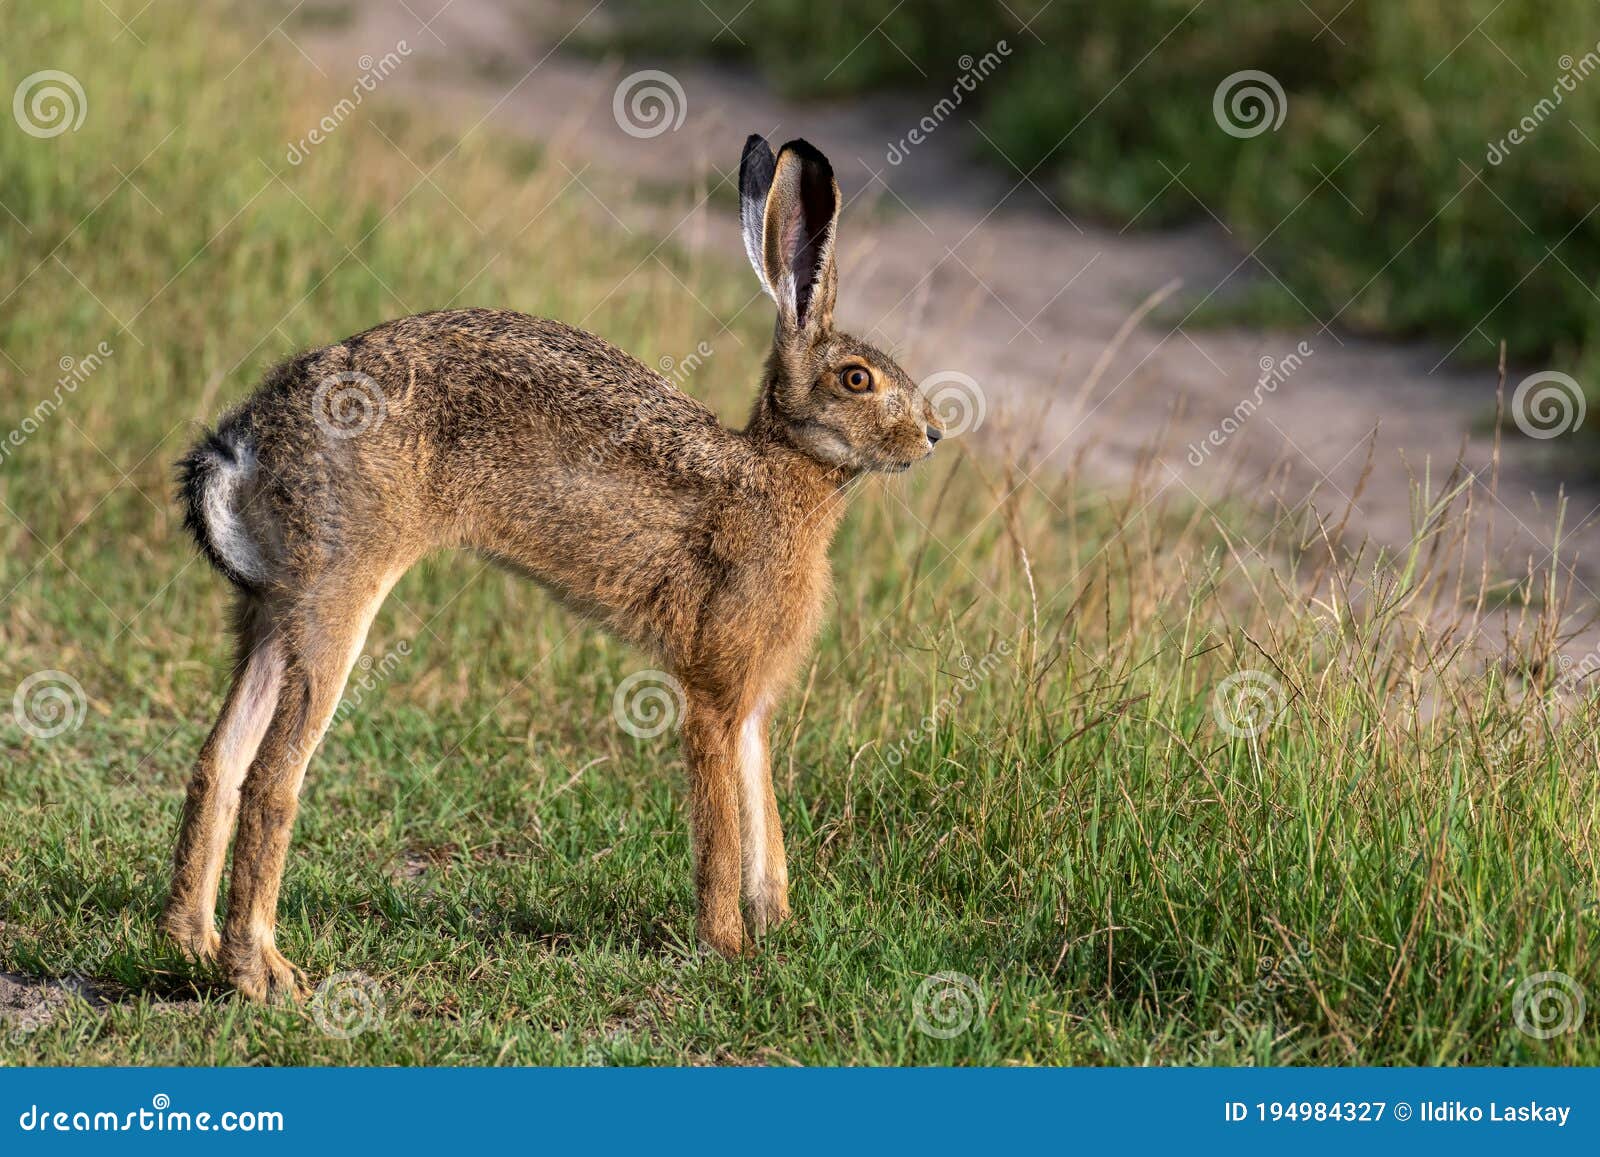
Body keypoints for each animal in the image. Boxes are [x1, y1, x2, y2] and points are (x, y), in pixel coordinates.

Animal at [160, 134, 946, 1001]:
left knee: (218, 760)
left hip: (276, 608)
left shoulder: (752, 701)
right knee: (272, 777)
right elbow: (722, 821)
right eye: (857, 379)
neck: (782, 469)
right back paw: (264, 972)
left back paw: (193, 942)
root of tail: (245, 442)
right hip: (339, 591)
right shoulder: (711, 689)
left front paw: (777, 926)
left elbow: (760, 808)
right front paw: (727, 944)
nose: (933, 434)